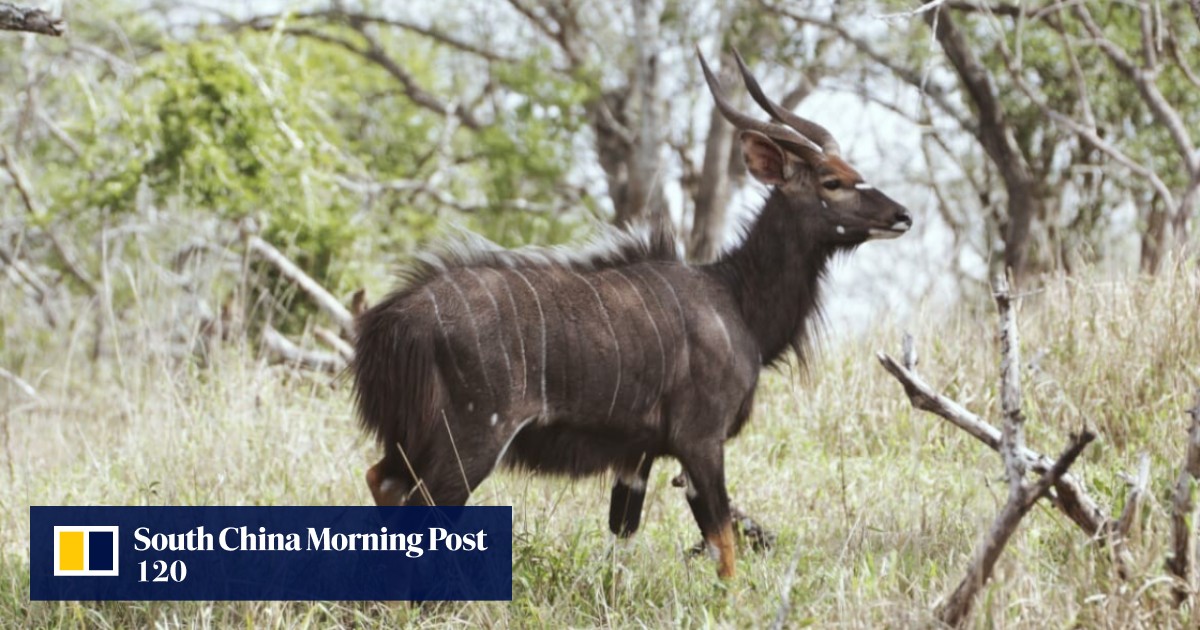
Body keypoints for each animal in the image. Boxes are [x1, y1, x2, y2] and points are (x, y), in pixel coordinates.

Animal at [352, 49, 912, 579]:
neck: (734, 296)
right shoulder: (700, 439)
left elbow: (624, 535)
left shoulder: (637, 456)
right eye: (832, 181)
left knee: (381, 479)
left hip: (410, 440)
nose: (902, 215)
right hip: (470, 439)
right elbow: (723, 544)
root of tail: (394, 319)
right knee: (424, 508)